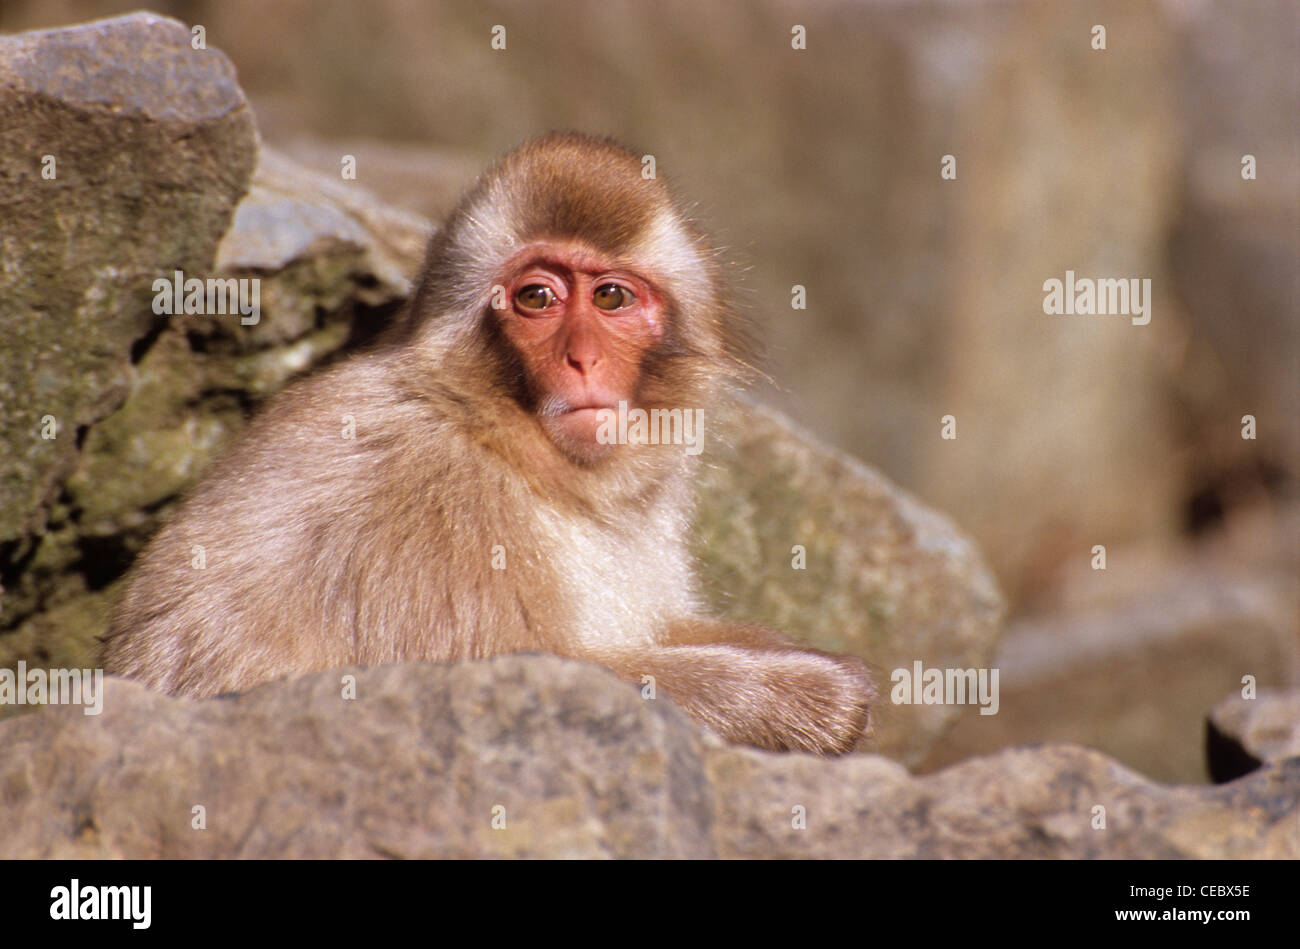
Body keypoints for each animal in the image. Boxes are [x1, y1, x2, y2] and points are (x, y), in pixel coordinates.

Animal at [101, 132, 875, 755]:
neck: (501, 437)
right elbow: (521, 679)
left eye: (611, 298)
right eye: (537, 299)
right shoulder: (434, 508)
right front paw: (808, 697)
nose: (583, 360)